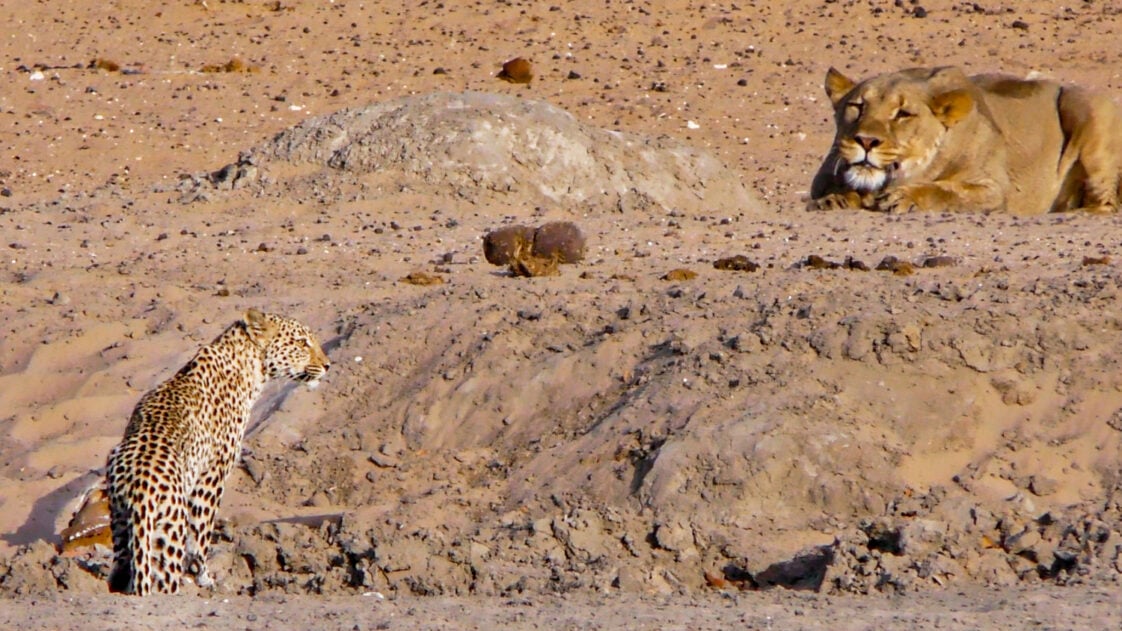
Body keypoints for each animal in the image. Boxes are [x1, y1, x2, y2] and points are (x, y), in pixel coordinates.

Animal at [105, 309, 330, 595]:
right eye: (302, 343)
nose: (328, 365)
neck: (250, 366)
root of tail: (138, 488)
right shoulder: (212, 476)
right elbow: (201, 535)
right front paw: (205, 577)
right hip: (169, 533)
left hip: (121, 526)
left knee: (121, 574)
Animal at [808, 66, 1122, 215]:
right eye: (857, 106)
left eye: (903, 114)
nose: (865, 141)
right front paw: (836, 200)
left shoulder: (994, 189)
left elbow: (948, 190)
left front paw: (906, 197)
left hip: (1085, 106)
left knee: (1107, 203)